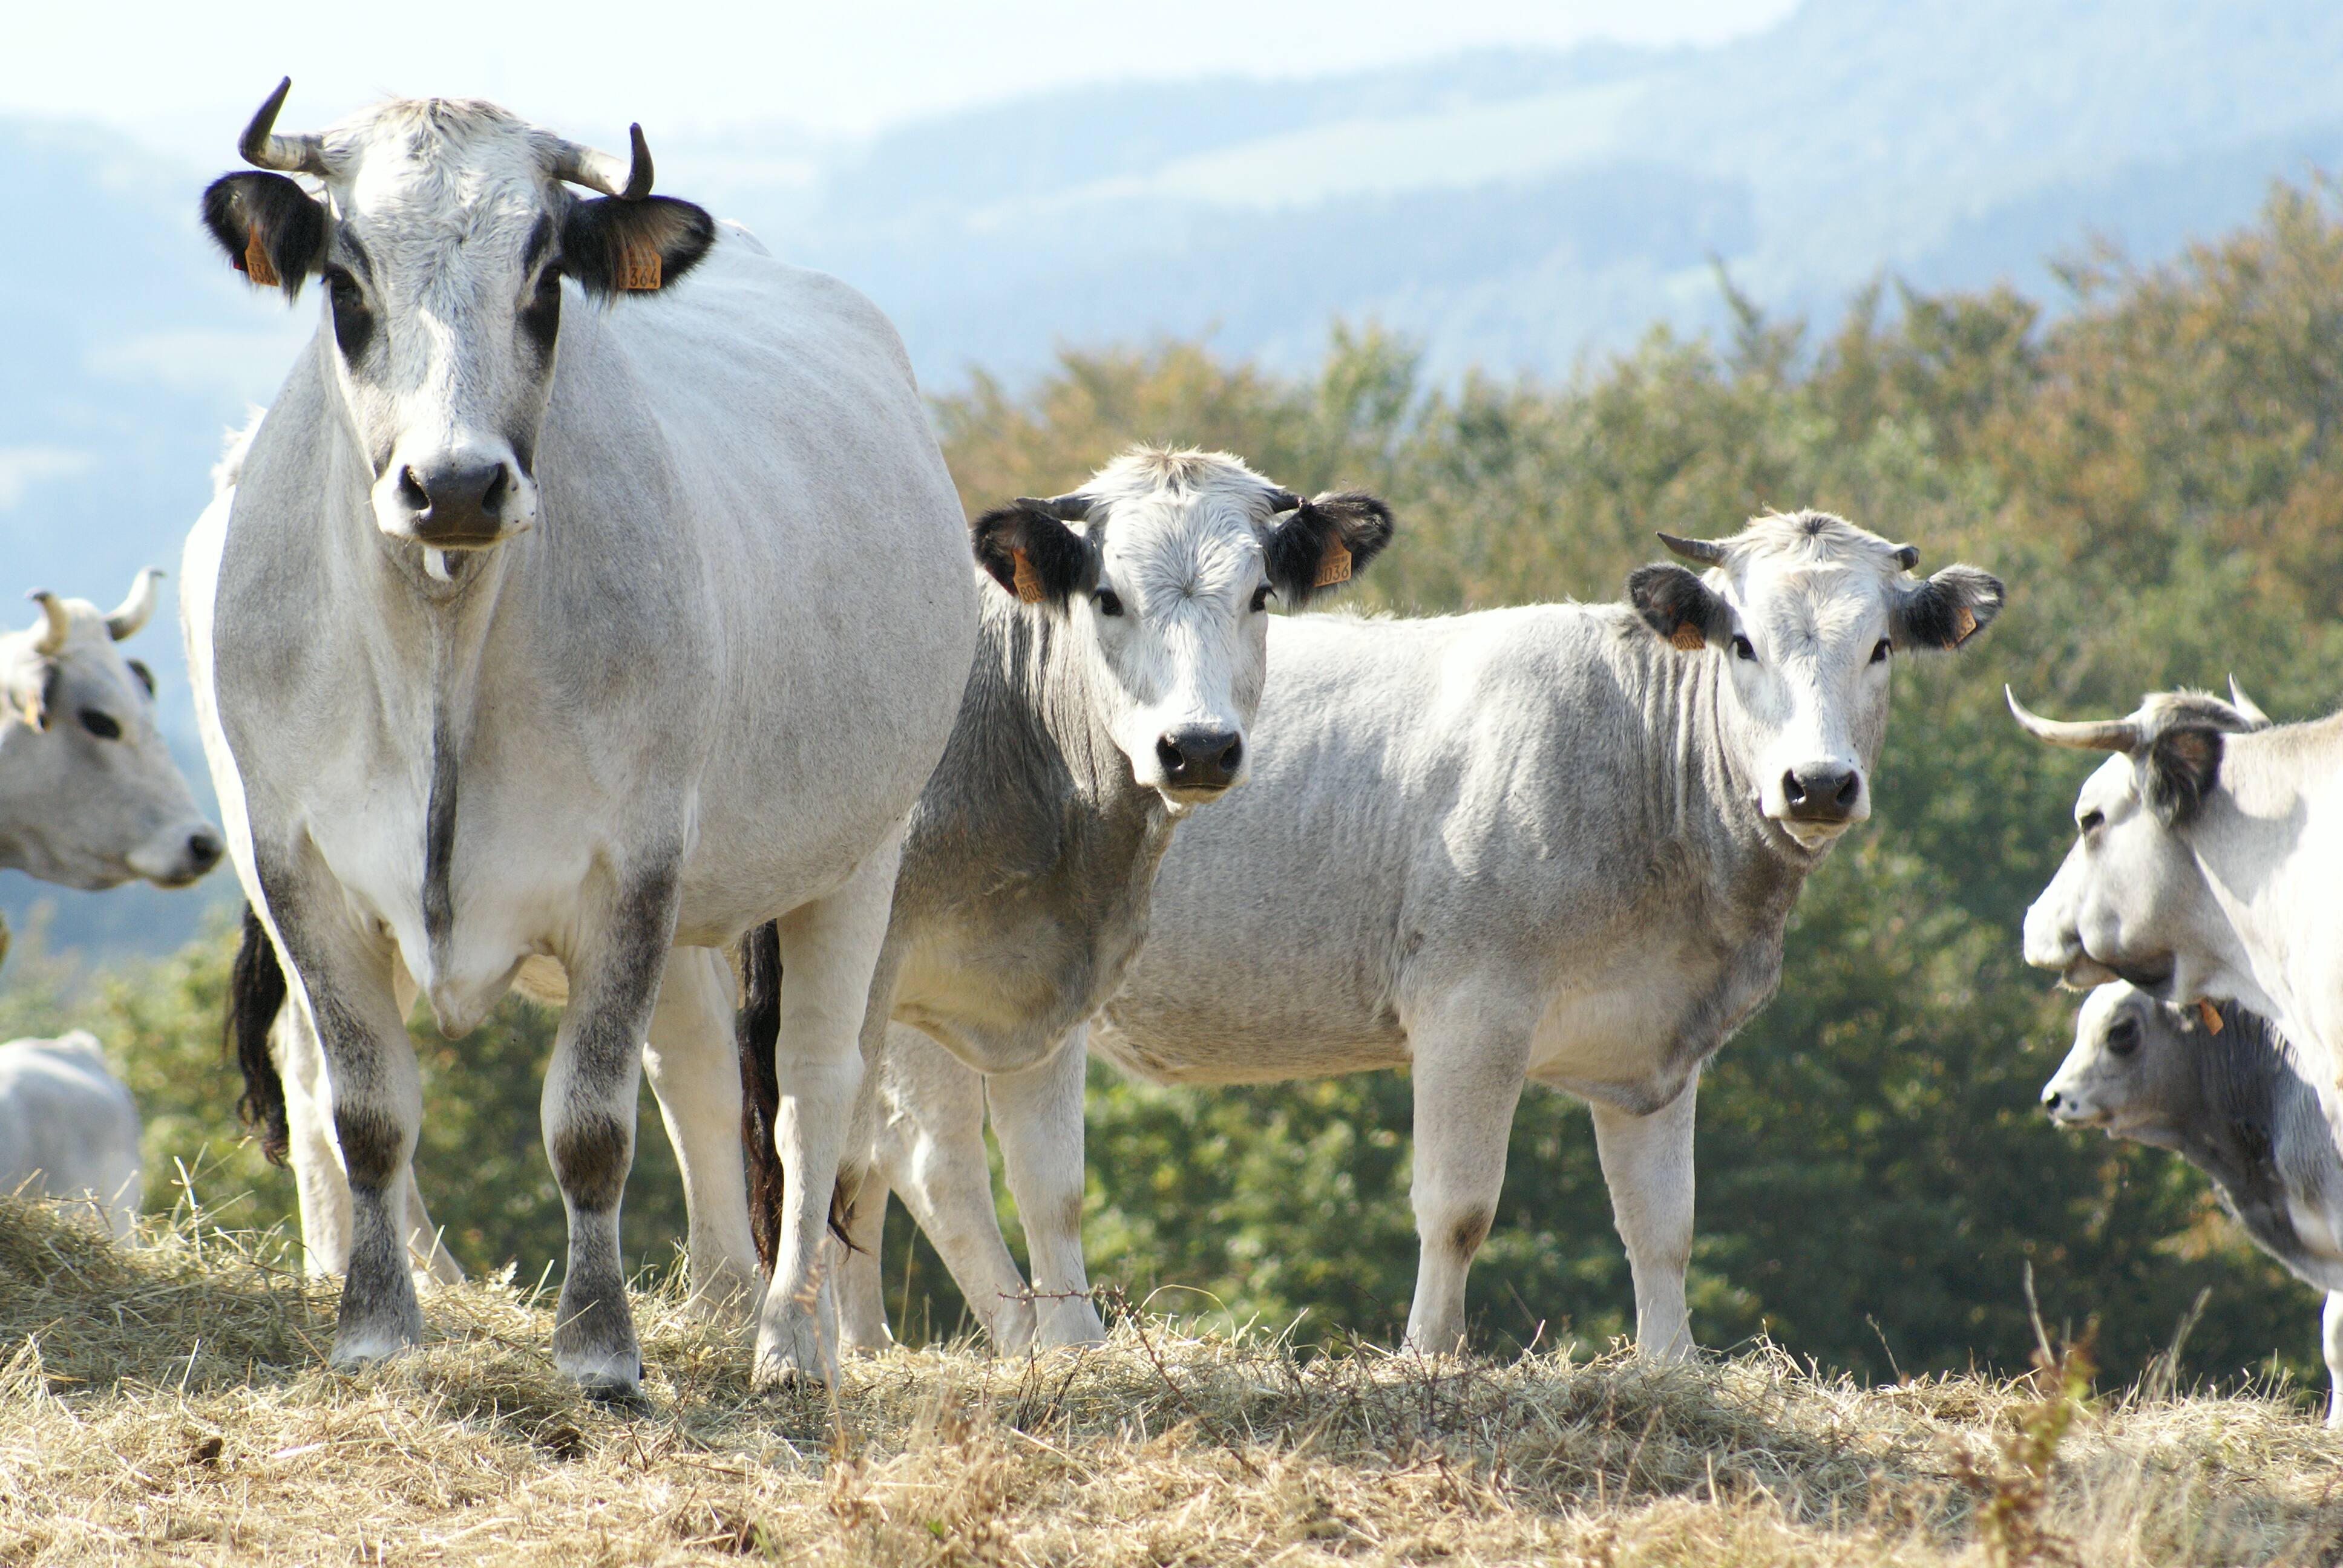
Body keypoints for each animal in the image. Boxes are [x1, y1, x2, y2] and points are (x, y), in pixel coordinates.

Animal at [188, 81, 976, 1392]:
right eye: (346, 280)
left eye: (545, 276)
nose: (455, 485)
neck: (444, 638)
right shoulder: (298, 866)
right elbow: (366, 1107)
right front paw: (374, 1327)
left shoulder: (631, 867)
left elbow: (591, 1125)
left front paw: (600, 1349)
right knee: (693, 1066)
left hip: (856, 855)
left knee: (811, 1088)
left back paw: (788, 1337)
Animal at [724, 448, 1392, 1352]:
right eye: (1108, 596)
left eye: (1259, 596)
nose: (1198, 748)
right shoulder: (867, 962)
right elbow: (825, 1141)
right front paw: (802, 1338)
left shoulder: (1056, 977)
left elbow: (1050, 1184)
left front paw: (1076, 1346)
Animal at [834, 511, 2004, 1357]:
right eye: (1744, 644)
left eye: (1881, 646)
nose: (1818, 783)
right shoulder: (1469, 1009)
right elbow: (1458, 1208)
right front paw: (1428, 1359)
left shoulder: (1657, 1045)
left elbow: (1662, 1228)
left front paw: (1670, 1369)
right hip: (929, 990)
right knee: (931, 1165)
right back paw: (1019, 1340)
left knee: (870, 1163)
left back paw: (871, 1344)